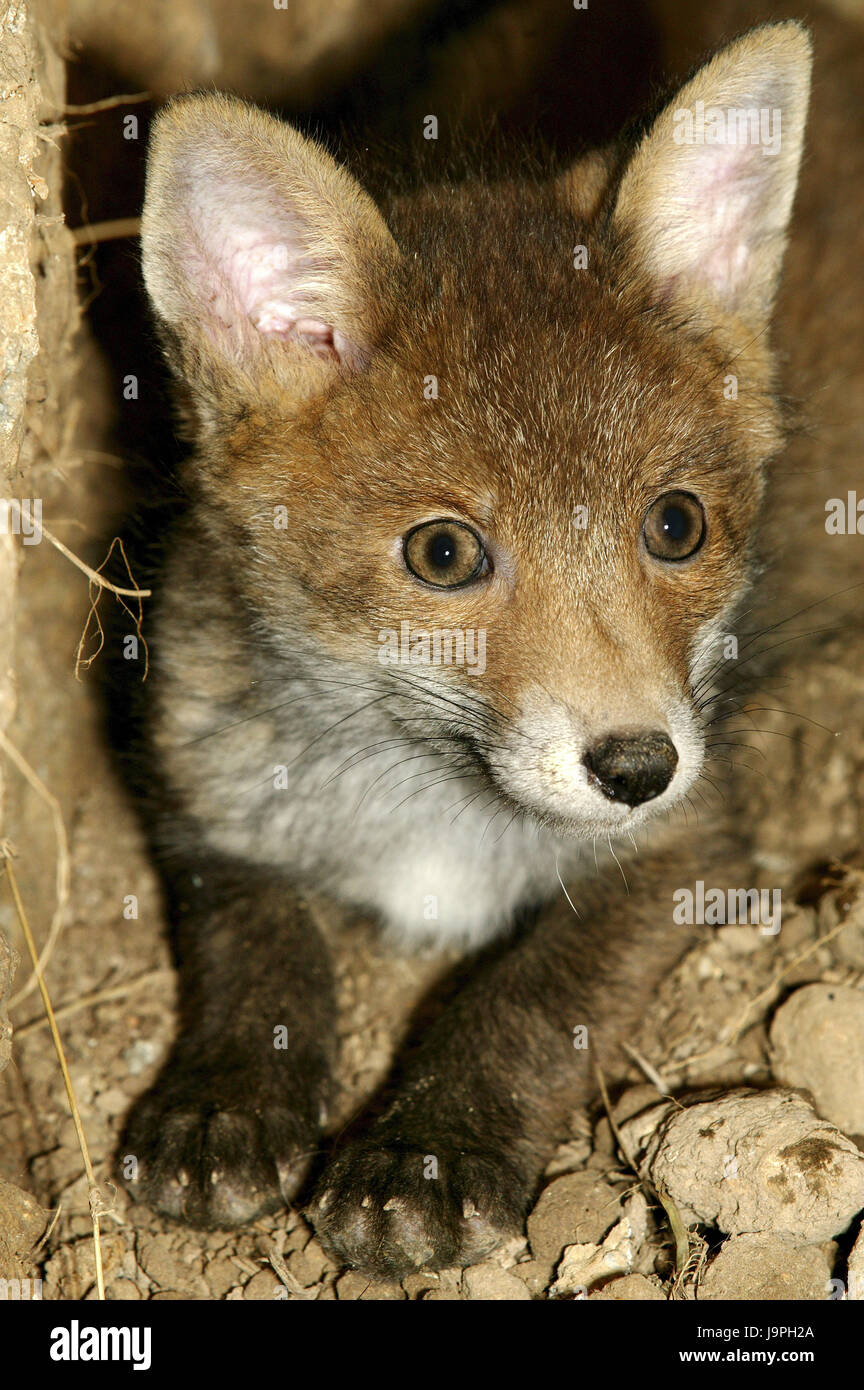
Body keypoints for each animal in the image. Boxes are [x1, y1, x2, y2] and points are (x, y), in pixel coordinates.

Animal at [109, 8, 864, 1276]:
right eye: (443, 552)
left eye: (677, 524)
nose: (636, 767)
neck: (435, 806)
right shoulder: (202, 790)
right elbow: (256, 944)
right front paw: (224, 1100)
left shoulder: (691, 844)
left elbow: (521, 1000)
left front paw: (430, 1150)